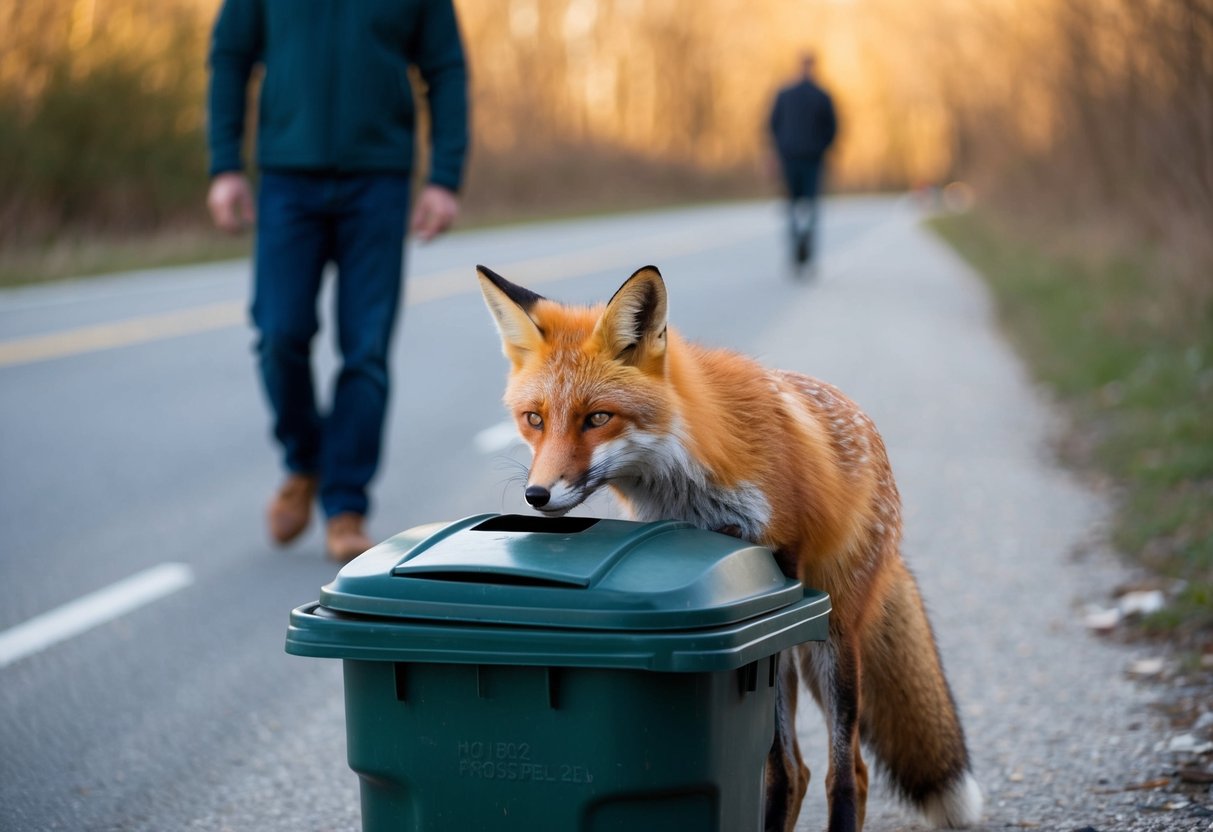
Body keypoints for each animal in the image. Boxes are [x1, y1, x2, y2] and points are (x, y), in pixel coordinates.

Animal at [476, 264, 982, 832]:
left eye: (597, 418)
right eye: (534, 419)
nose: (536, 496)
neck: (689, 479)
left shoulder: (780, 563)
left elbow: (782, 763)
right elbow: (778, 766)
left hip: (834, 641)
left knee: (845, 771)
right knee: (805, 770)